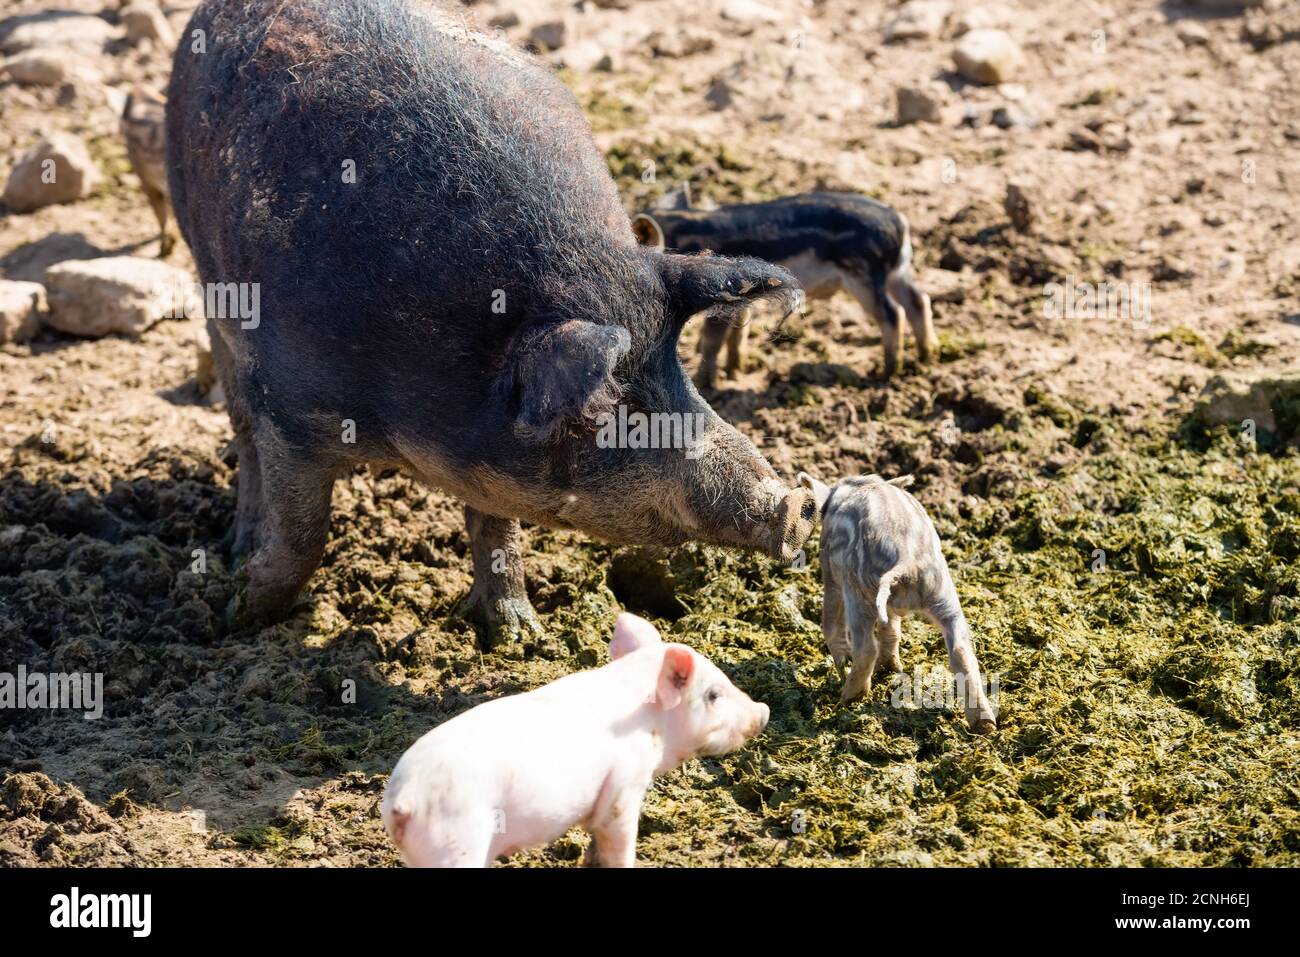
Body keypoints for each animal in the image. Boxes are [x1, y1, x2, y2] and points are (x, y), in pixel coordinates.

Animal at [165, 0, 816, 641]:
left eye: (672, 366)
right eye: (604, 411)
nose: (795, 507)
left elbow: (497, 525)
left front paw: (517, 636)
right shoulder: (290, 411)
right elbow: (304, 533)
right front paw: (236, 616)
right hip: (209, 283)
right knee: (240, 424)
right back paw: (236, 549)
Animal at [382, 612, 770, 867]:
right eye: (714, 695)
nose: (763, 711)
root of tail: (403, 800)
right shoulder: (624, 783)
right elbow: (617, 837)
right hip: (457, 841)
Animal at [632, 186, 936, 385]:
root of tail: (899, 223)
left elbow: (712, 340)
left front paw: (704, 383)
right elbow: (737, 335)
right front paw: (734, 371)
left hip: (865, 275)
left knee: (893, 312)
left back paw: (883, 374)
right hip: (899, 271)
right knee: (919, 300)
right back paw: (926, 356)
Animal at [798, 472, 997, 733]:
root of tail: (906, 561)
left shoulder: (829, 570)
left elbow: (831, 620)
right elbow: (891, 629)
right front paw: (893, 669)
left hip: (857, 593)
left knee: (865, 648)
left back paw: (847, 698)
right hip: (945, 596)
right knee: (961, 650)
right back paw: (984, 725)